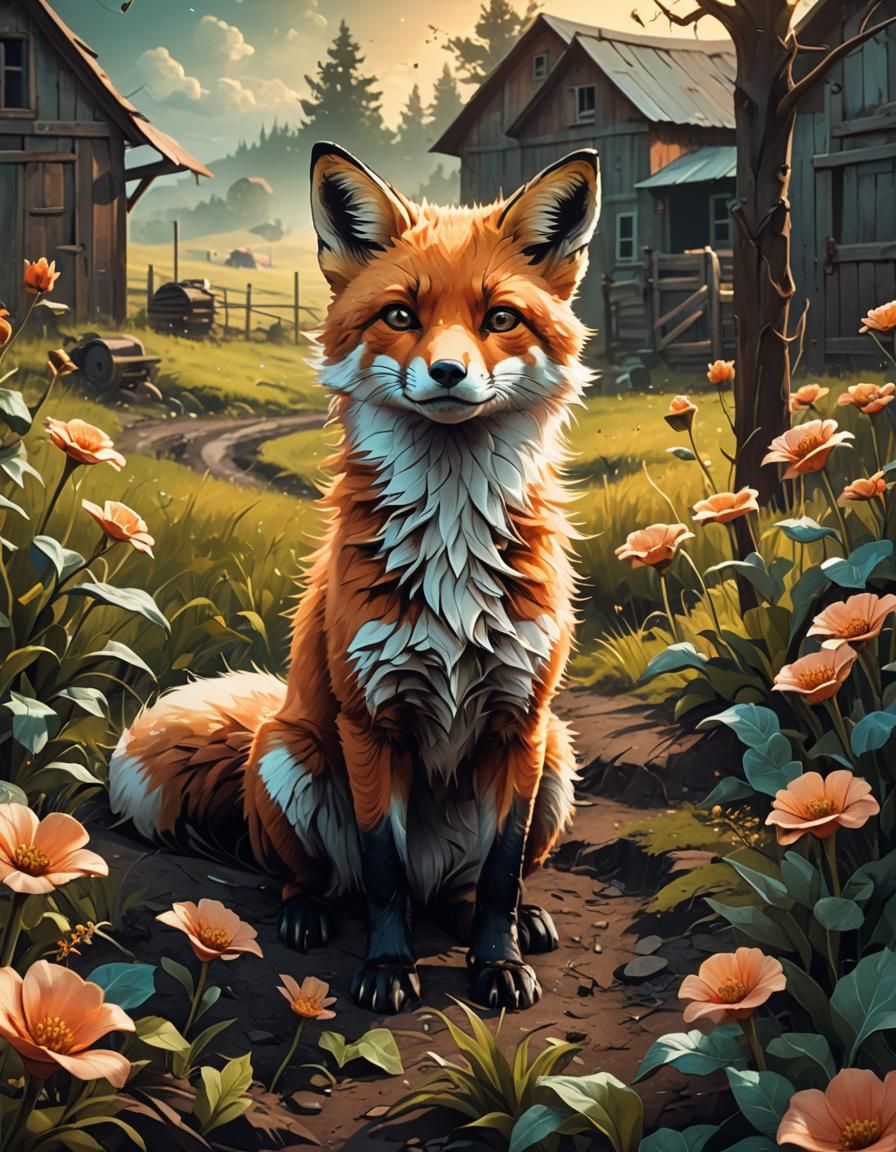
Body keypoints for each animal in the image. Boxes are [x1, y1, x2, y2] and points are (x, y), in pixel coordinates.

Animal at [109, 142, 601, 1013]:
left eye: (499, 318)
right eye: (401, 316)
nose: (448, 373)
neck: (453, 551)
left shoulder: (521, 719)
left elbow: (502, 873)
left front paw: (497, 964)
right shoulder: (371, 720)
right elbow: (381, 870)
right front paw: (388, 968)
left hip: (558, 760)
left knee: (468, 888)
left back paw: (516, 921)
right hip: (290, 757)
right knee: (317, 878)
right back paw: (307, 915)